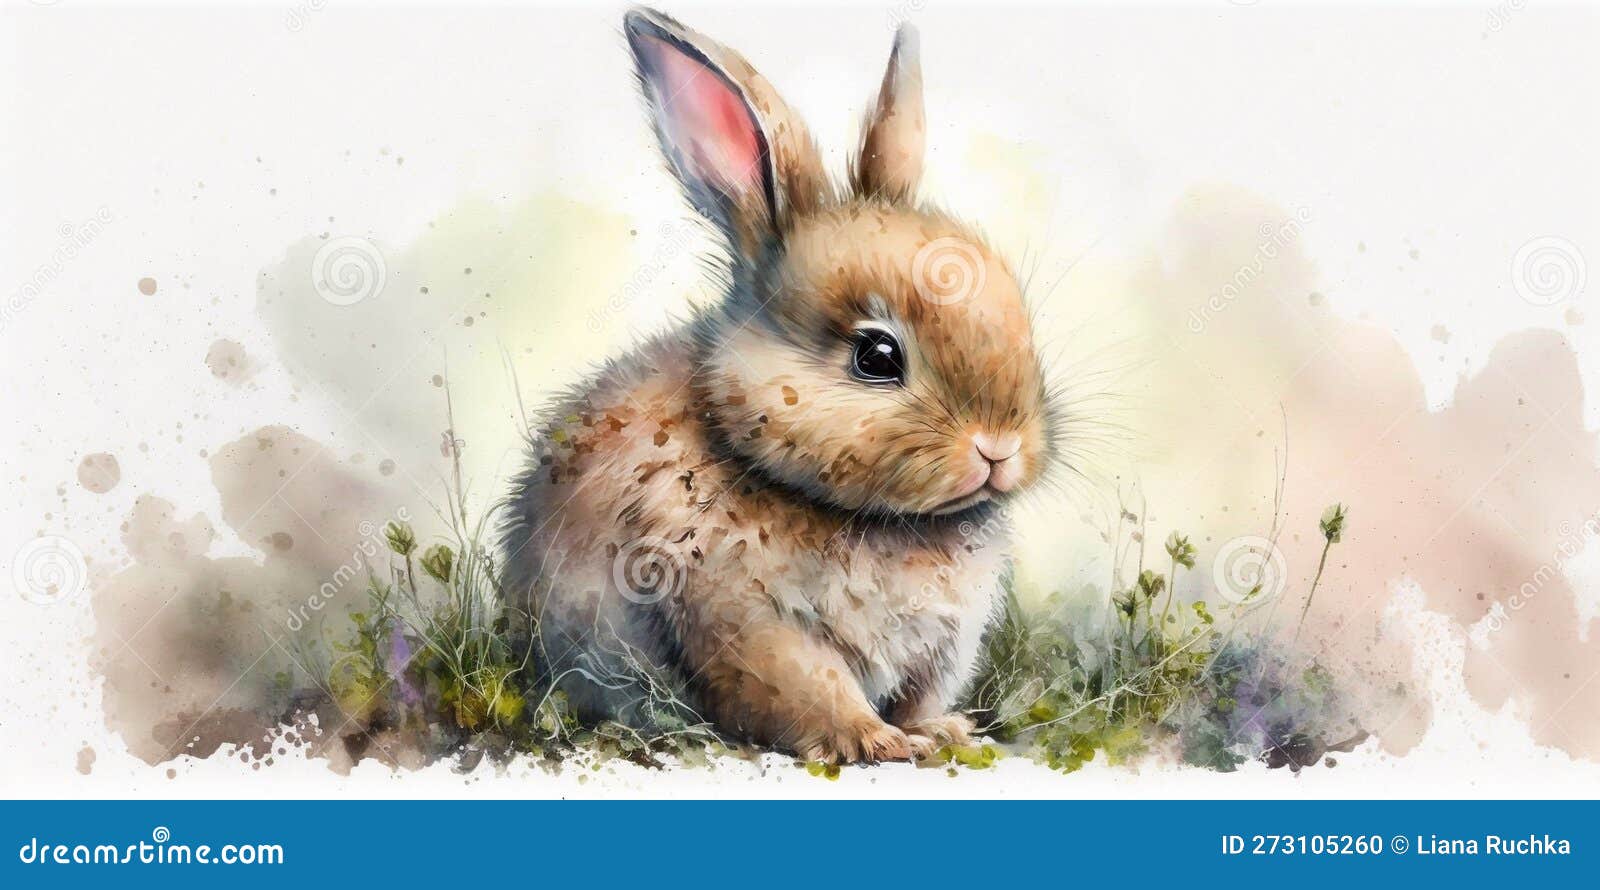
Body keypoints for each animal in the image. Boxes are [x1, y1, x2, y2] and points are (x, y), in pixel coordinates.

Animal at [499, 6, 1057, 764]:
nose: (1000, 448)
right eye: (876, 355)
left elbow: (920, 695)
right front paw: (877, 742)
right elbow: (811, 691)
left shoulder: (942, 646)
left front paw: (936, 731)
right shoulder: (743, 624)